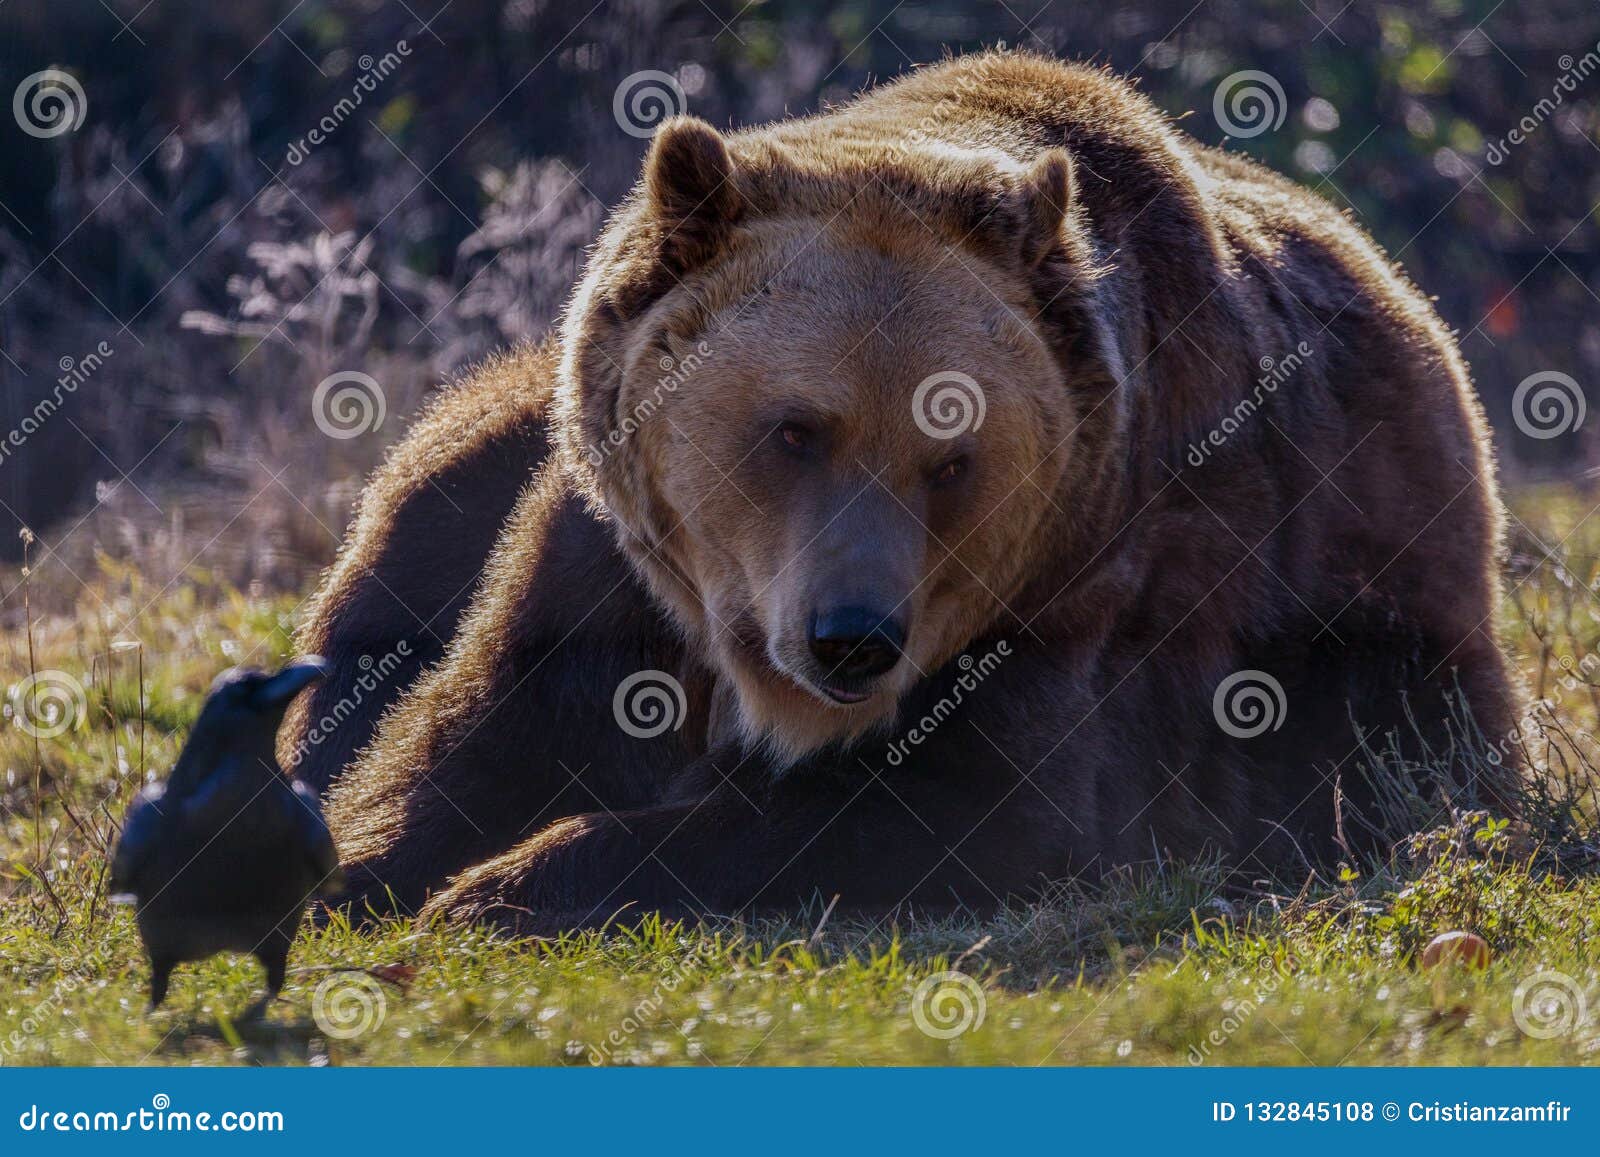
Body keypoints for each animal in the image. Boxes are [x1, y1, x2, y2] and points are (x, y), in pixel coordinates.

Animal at [285, 51, 1517, 930]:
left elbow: (968, 808)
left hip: (1397, 654)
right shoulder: (617, 565)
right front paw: (362, 863)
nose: (852, 638)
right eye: (796, 430)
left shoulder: (1095, 587)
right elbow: (463, 731)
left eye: (953, 457)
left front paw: (505, 883)